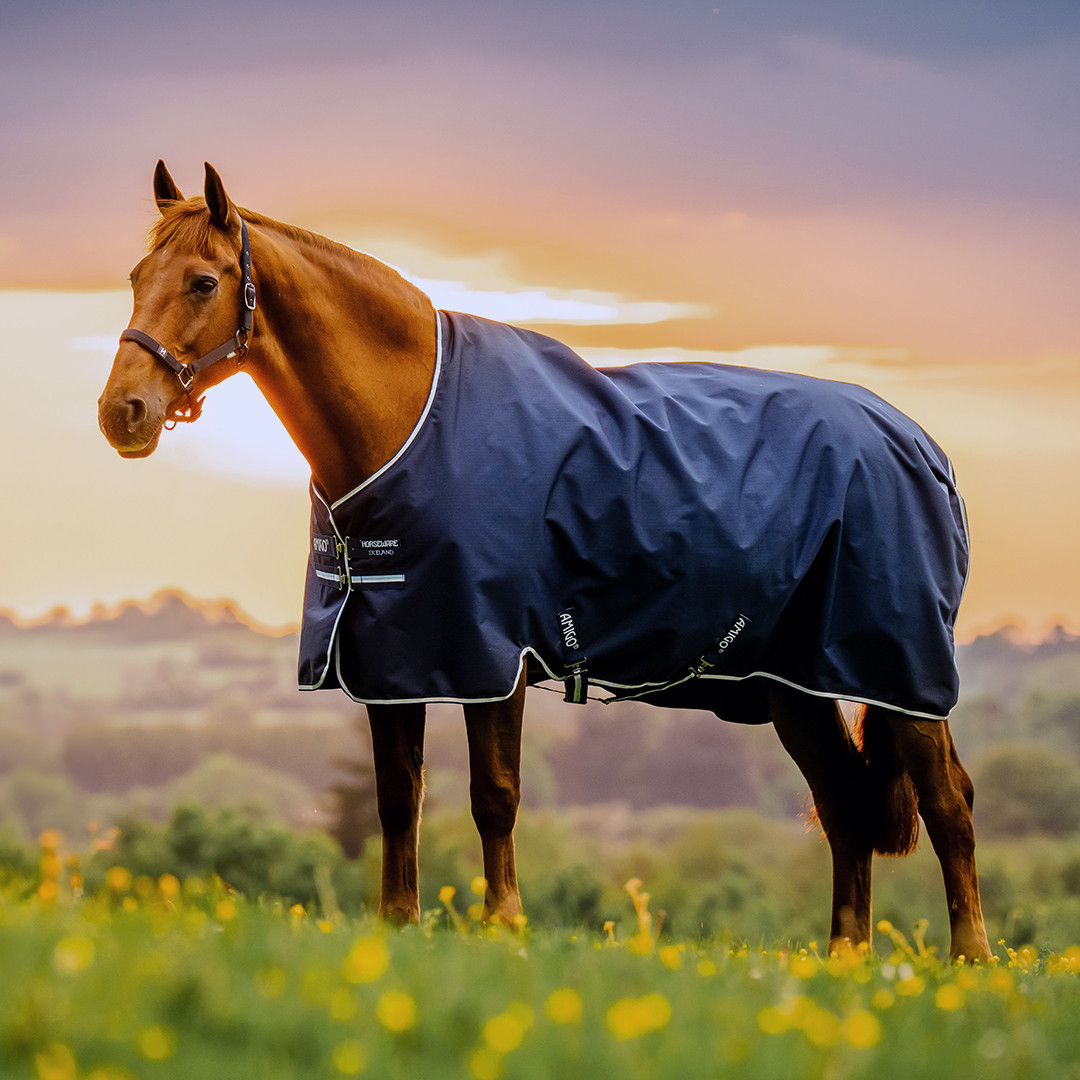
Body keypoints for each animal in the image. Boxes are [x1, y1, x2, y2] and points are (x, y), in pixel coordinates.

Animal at [98, 161, 991, 960]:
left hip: (902, 671)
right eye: (138, 275)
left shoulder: (491, 655)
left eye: (203, 282)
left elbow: (494, 797)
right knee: (843, 803)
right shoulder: (392, 659)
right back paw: (846, 959)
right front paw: (399, 925)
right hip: (792, 683)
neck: (412, 422)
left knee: (948, 802)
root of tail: (923, 447)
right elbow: (398, 800)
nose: (121, 413)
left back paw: (973, 961)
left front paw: (505, 926)